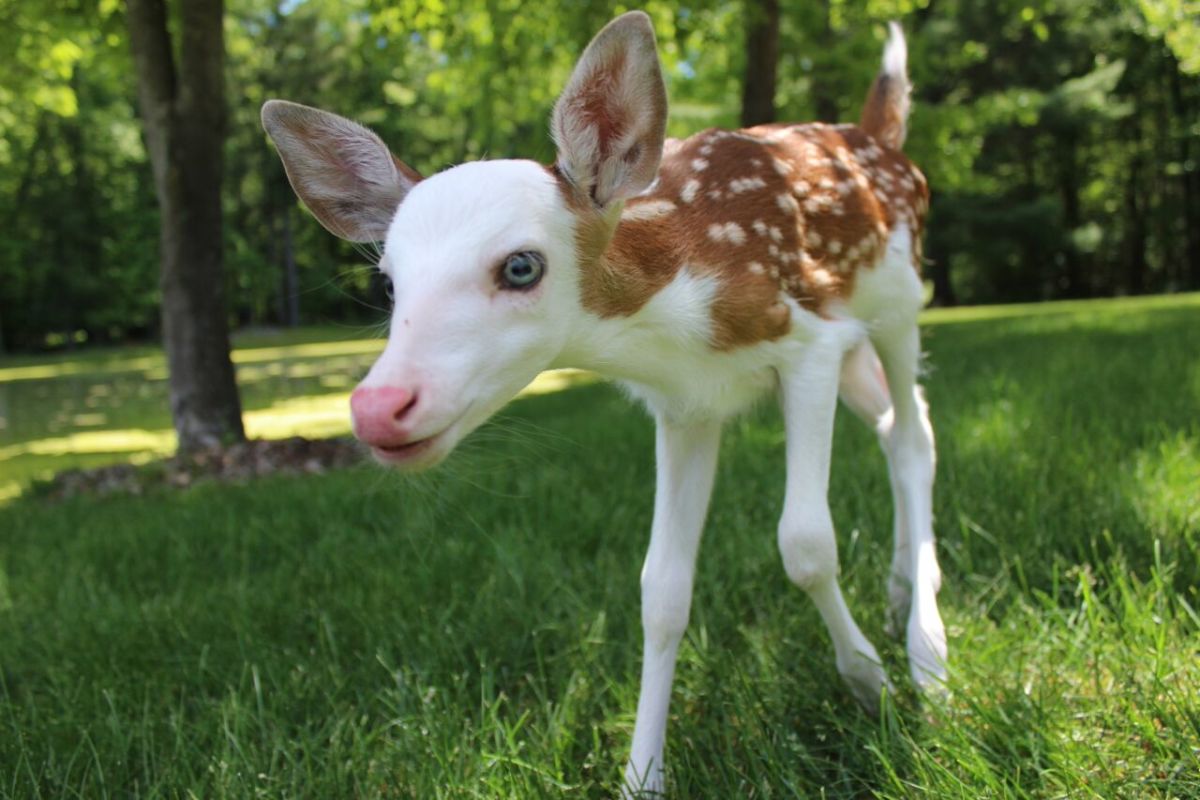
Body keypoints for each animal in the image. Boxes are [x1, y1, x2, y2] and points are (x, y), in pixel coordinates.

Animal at [262, 12, 947, 796]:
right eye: (388, 282)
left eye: (521, 265)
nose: (378, 407)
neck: (681, 301)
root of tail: (878, 138)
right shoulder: (687, 405)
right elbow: (661, 589)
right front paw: (642, 774)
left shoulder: (809, 341)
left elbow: (804, 543)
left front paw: (869, 682)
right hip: (859, 347)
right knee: (894, 425)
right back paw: (900, 593)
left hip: (899, 302)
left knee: (916, 437)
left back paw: (928, 654)